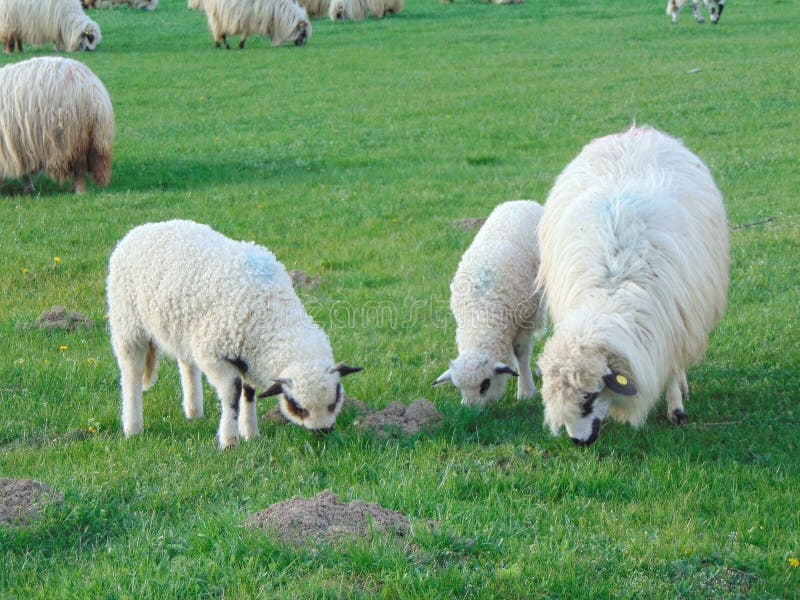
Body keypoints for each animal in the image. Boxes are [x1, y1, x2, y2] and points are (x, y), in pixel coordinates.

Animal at [106, 220, 363, 449]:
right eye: (298, 407)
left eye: (334, 401)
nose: (323, 432)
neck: (271, 310)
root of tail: (139, 230)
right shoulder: (214, 354)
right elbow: (233, 395)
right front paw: (230, 439)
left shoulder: (248, 355)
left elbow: (248, 393)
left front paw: (250, 433)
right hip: (128, 324)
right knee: (130, 374)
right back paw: (132, 426)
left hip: (181, 326)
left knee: (186, 363)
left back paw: (193, 411)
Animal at [433, 200, 546, 407]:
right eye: (459, 388)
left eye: (485, 384)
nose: (469, 412)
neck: (481, 311)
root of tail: (521, 202)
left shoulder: (525, 318)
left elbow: (521, 354)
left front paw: (526, 391)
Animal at [535, 125, 729, 446]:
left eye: (590, 397)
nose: (579, 442)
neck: (610, 291)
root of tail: (635, 130)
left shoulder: (673, 323)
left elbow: (672, 368)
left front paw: (676, 409)